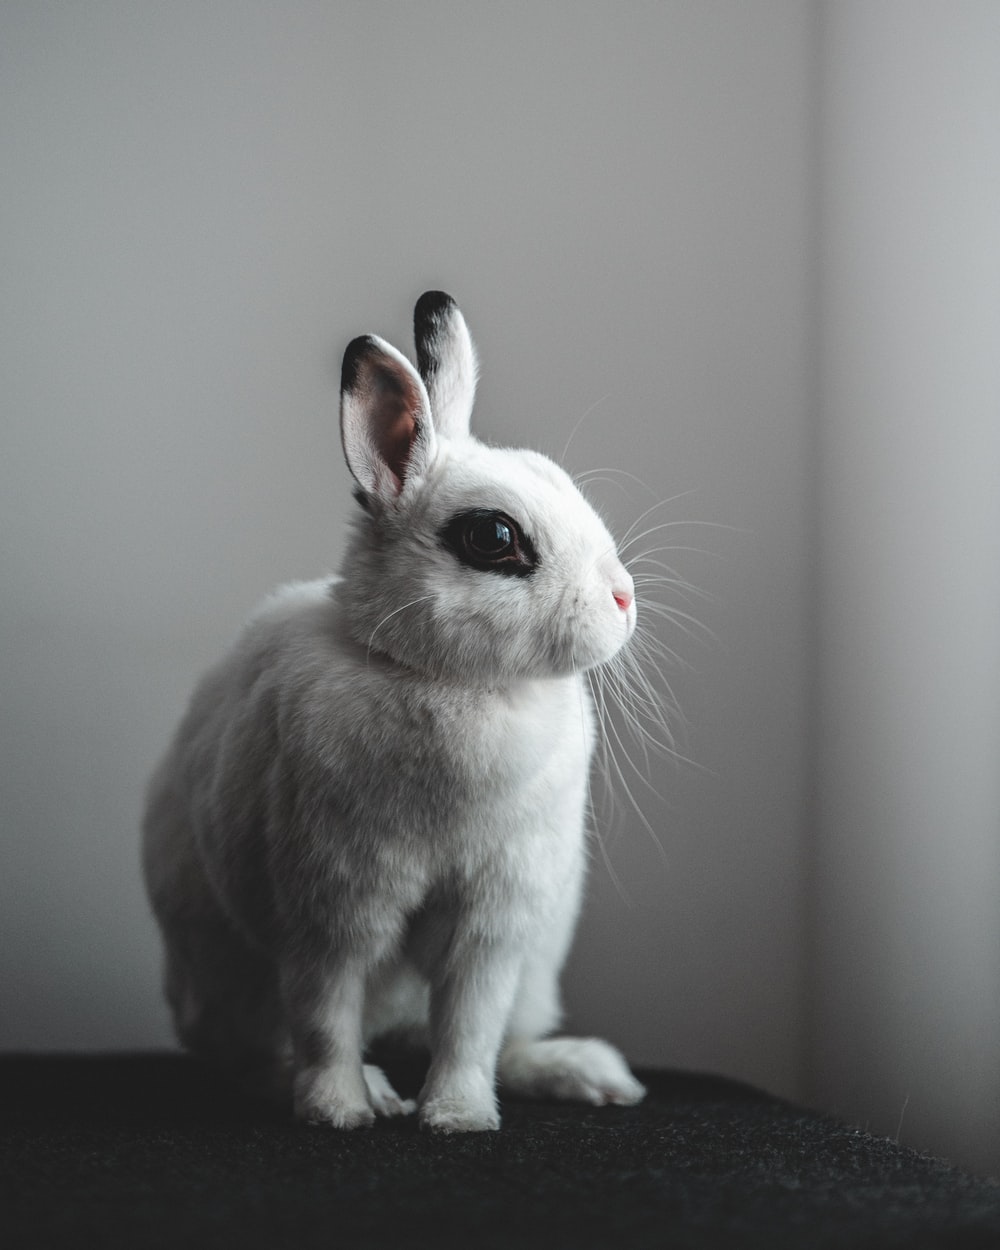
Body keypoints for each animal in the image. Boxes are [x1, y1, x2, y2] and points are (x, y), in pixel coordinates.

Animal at [142, 290, 647, 1133]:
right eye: (495, 535)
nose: (623, 599)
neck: (447, 679)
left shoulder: (494, 923)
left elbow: (470, 1025)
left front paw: (458, 1118)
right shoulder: (331, 908)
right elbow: (325, 1018)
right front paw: (339, 1113)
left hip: (537, 969)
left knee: (507, 1035)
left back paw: (587, 1074)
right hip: (229, 981)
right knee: (255, 1054)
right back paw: (367, 1089)